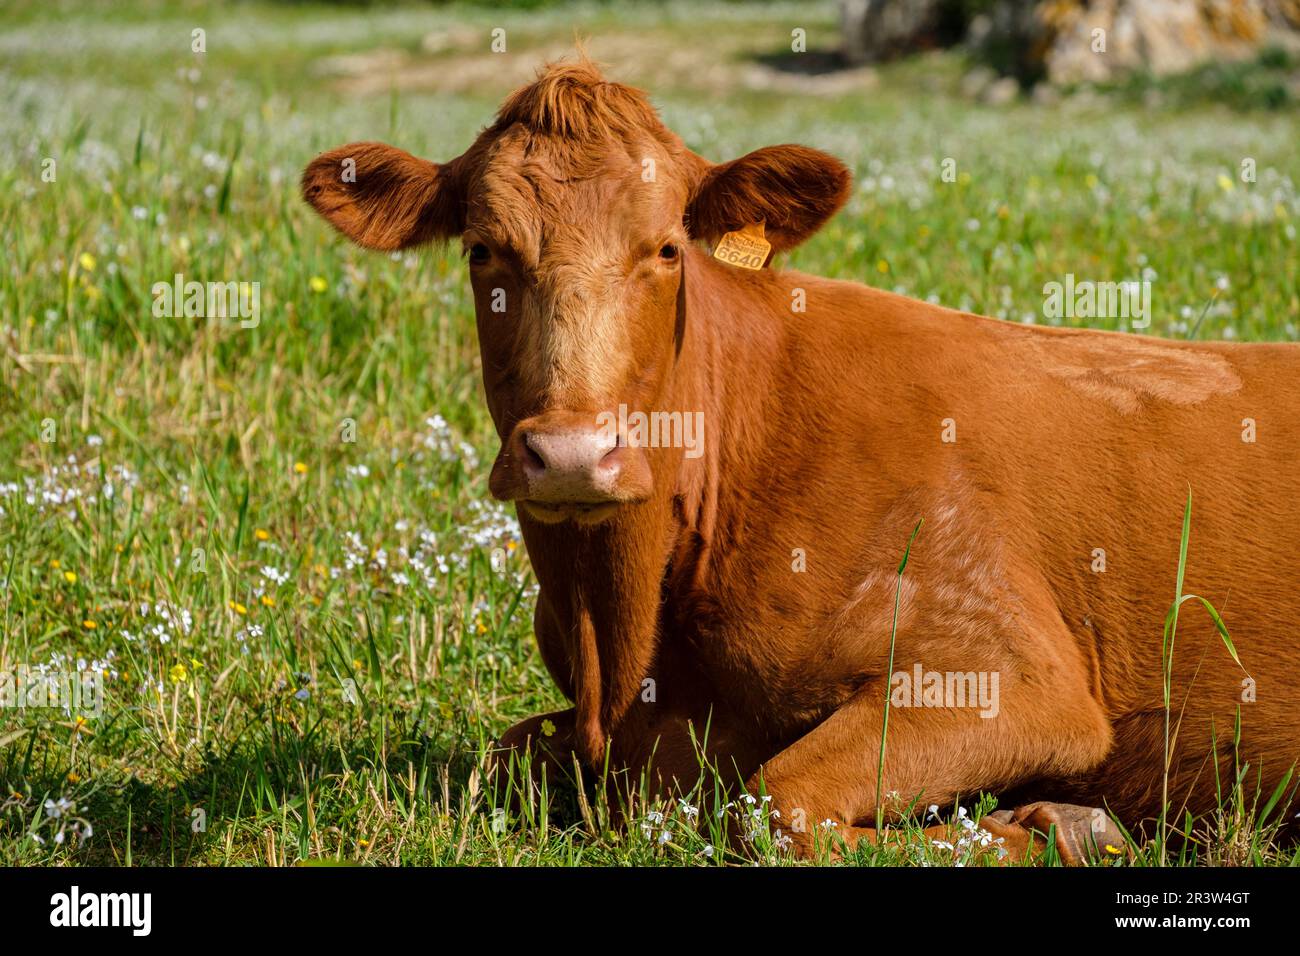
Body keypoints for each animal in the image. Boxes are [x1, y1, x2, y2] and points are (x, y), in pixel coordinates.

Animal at [303, 58, 1300, 863]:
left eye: (668, 248)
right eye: (483, 251)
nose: (574, 455)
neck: (624, 651)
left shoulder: (1014, 672)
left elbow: (774, 804)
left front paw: (1068, 825)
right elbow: (503, 754)